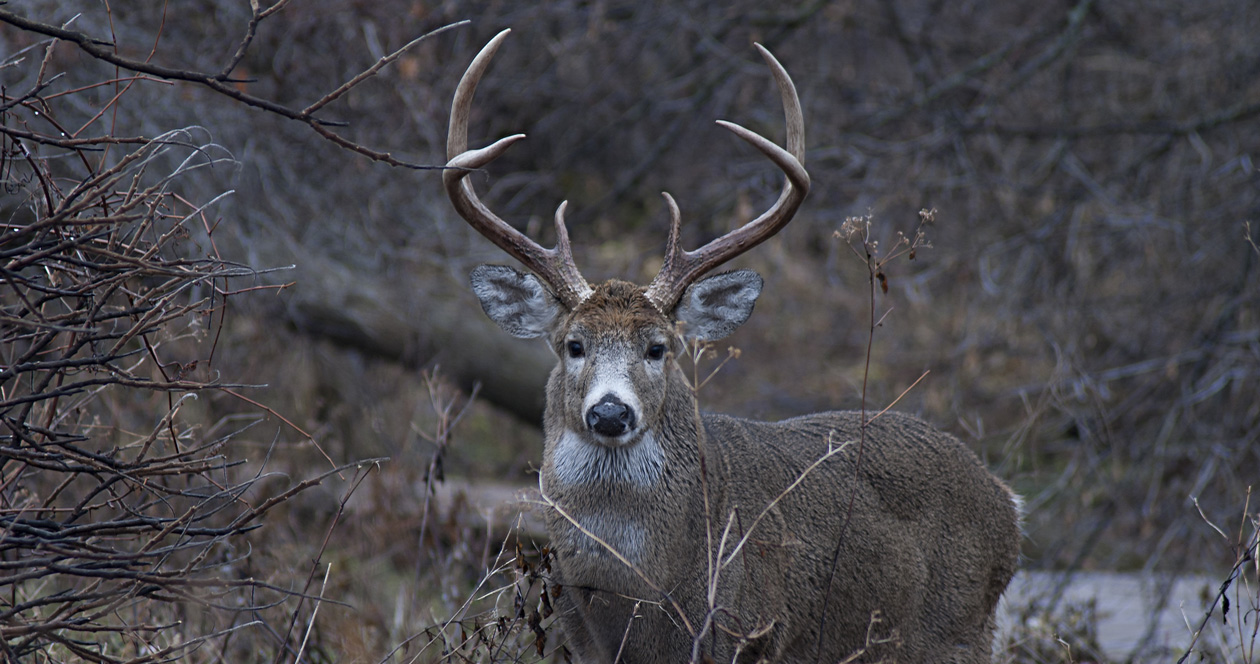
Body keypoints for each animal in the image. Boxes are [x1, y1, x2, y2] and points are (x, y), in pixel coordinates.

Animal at [444, 29, 1022, 664]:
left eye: (659, 347)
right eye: (573, 345)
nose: (611, 412)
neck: (639, 603)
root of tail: (1008, 503)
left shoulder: (749, 633)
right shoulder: (583, 642)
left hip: (958, 632)